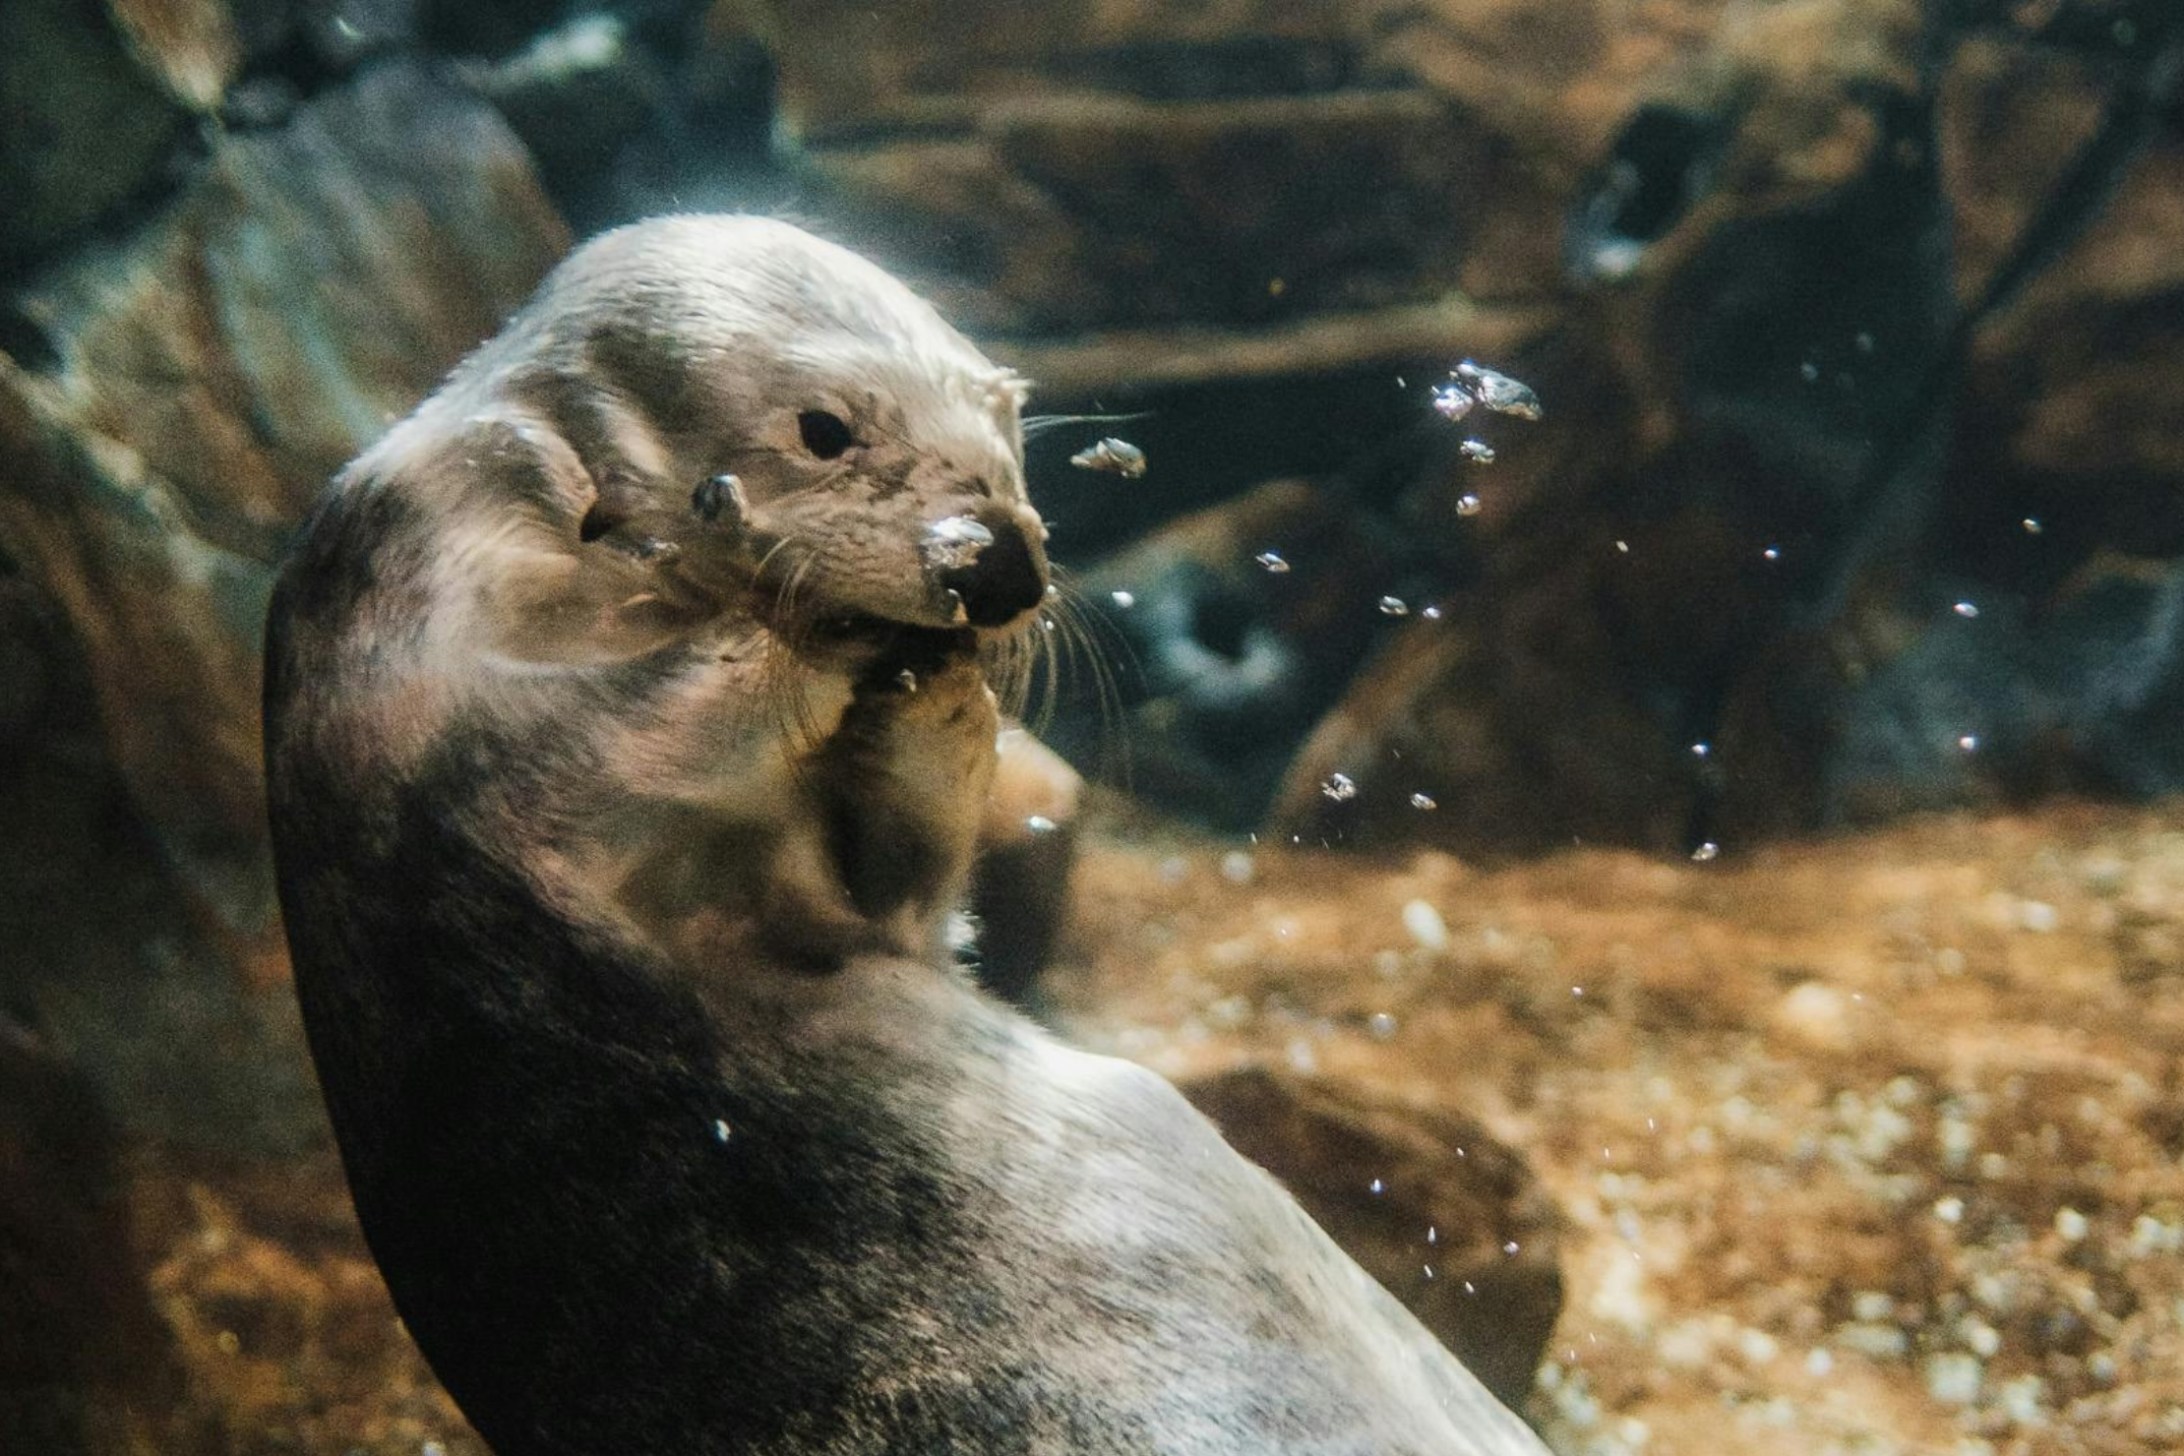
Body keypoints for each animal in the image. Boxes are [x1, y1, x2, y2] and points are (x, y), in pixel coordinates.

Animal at [263, 216, 1552, 1456]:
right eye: (825, 429)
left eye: (1010, 417)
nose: (997, 559)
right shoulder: (427, 667)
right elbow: (618, 732)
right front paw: (795, 599)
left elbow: (910, 881)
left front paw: (942, 696)